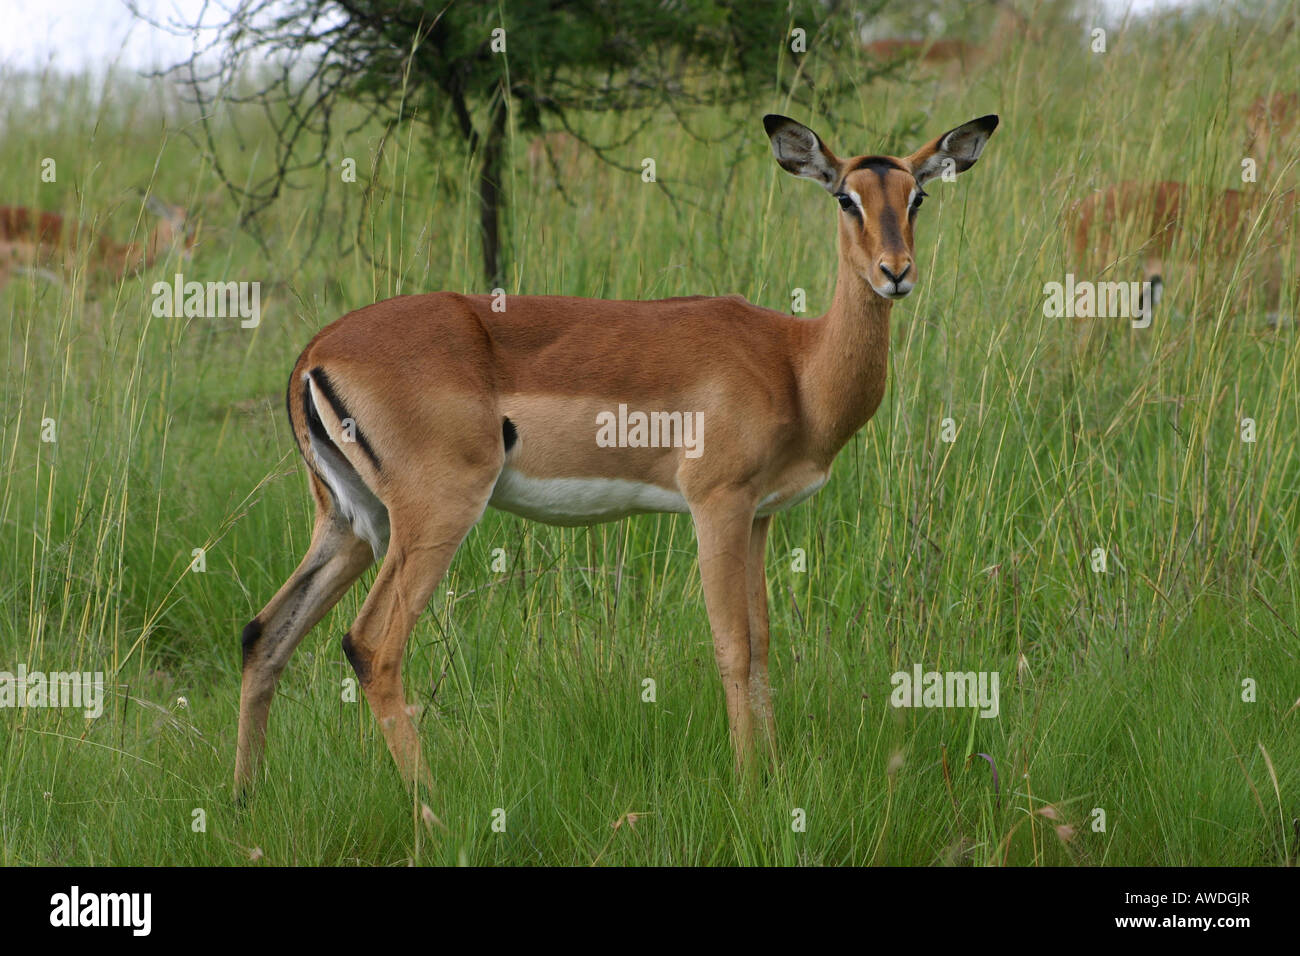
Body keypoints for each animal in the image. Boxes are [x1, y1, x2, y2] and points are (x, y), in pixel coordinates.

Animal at [234, 113, 1000, 797]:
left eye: (917, 196)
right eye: (845, 196)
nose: (895, 272)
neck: (794, 362)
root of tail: (315, 352)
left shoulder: (758, 516)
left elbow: (763, 645)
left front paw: (777, 776)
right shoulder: (716, 505)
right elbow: (733, 646)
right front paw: (750, 789)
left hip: (351, 524)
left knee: (264, 634)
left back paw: (247, 803)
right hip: (433, 516)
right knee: (371, 646)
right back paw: (435, 812)